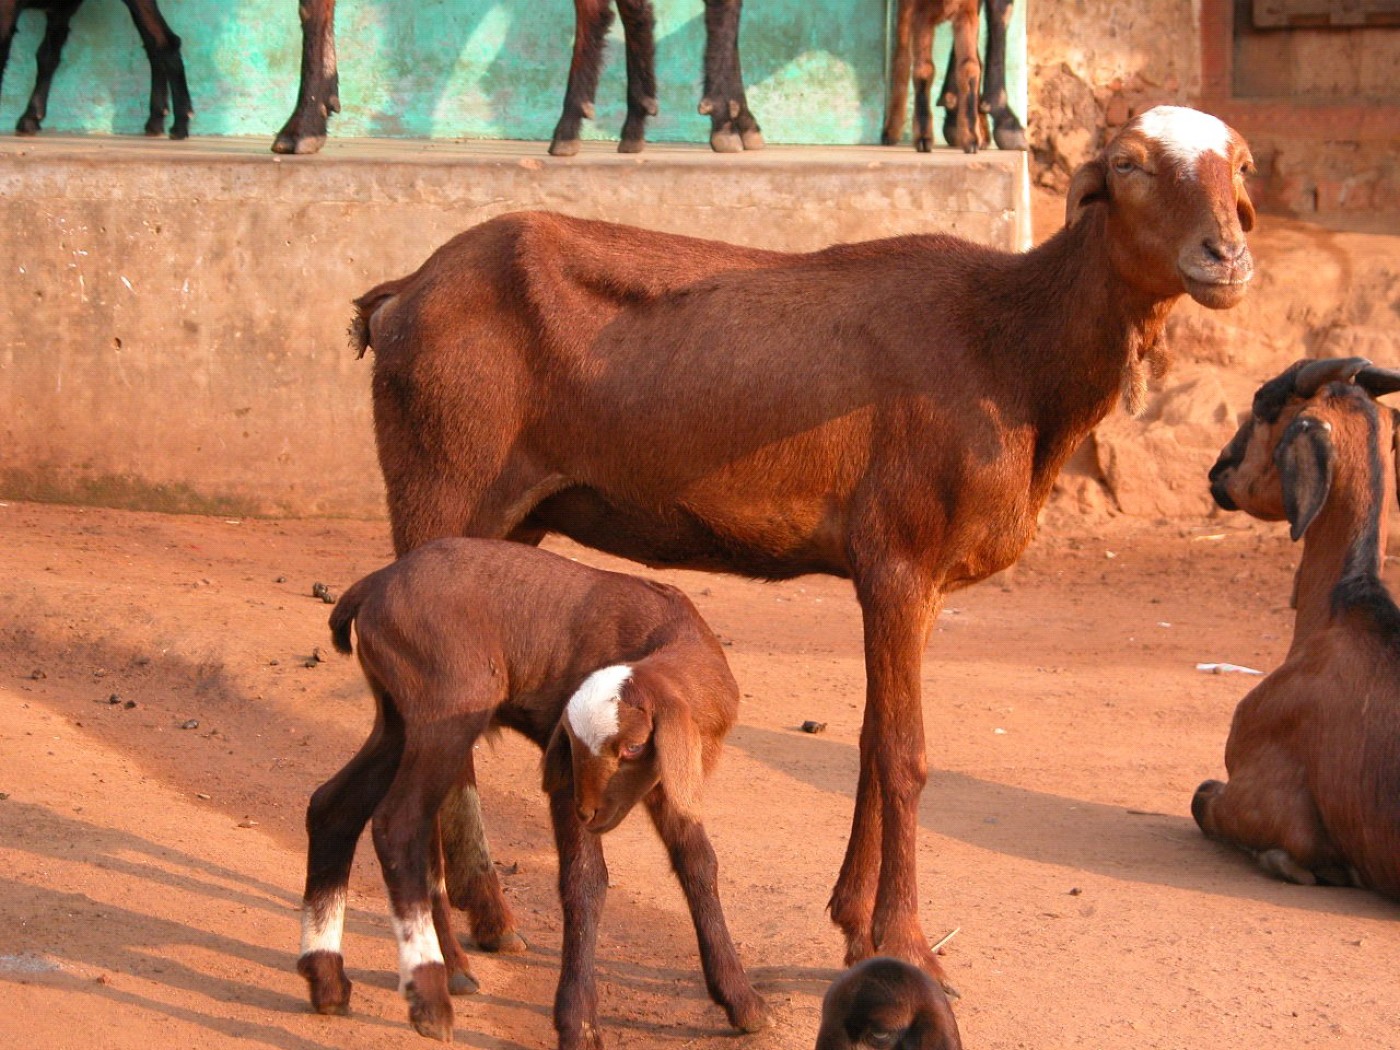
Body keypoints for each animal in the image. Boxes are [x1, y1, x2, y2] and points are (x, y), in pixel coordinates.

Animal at [0, 0, 189, 138]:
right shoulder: (60, 8)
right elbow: (48, 57)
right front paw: (32, 118)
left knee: (166, 41)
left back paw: (180, 125)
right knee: (153, 45)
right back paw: (156, 120)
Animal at [297, 537, 767, 1046]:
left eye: (634, 746)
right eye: (573, 744)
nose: (588, 812)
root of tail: (373, 586)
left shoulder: (669, 775)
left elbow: (698, 863)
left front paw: (742, 1002)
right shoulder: (568, 783)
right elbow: (585, 881)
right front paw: (578, 1024)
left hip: (398, 716)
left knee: (332, 808)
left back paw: (327, 979)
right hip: (446, 705)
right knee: (399, 824)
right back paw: (430, 997)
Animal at [349, 104, 1257, 988]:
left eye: (1241, 166)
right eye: (1130, 164)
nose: (1226, 255)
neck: (1011, 349)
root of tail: (404, 293)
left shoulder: (911, 578)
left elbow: (870, 740)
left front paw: (855, 923)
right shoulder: (898, 555)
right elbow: (903, 753)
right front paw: (909, 942)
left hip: (513, 514)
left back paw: (483, 911)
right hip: (441, 477)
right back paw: (465, 930)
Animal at [881, 0, 983, 154]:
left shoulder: (968, 11)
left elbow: (969, 67)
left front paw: (971, 138)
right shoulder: (920, 13)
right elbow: (924, 69)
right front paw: (923, 138)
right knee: (902, 57)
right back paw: (890, 132)